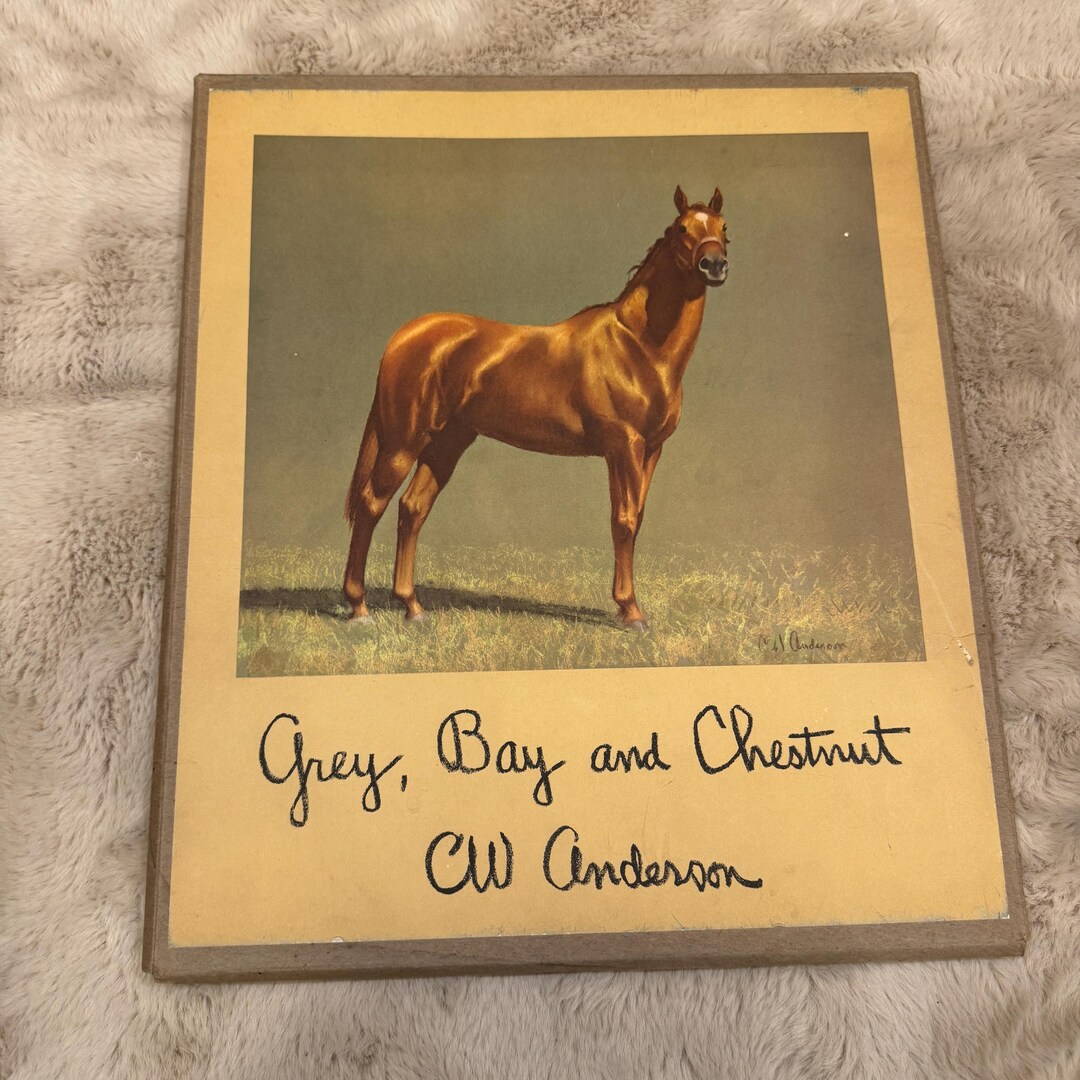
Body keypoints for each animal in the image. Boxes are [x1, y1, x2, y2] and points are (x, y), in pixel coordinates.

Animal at [343, 185, 730, 630]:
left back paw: (413, 606)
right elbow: (623, 521)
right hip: (403, 444)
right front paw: (631, 612)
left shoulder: (651, 449)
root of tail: (404, 336)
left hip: (447, 443)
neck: (639, 345)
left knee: (412, 508)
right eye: (683, 228)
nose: (714, 264)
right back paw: (359, 607)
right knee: (371, 505)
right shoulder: (624, 447)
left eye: (724, 227)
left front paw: (627, 607)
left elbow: (637, 518)